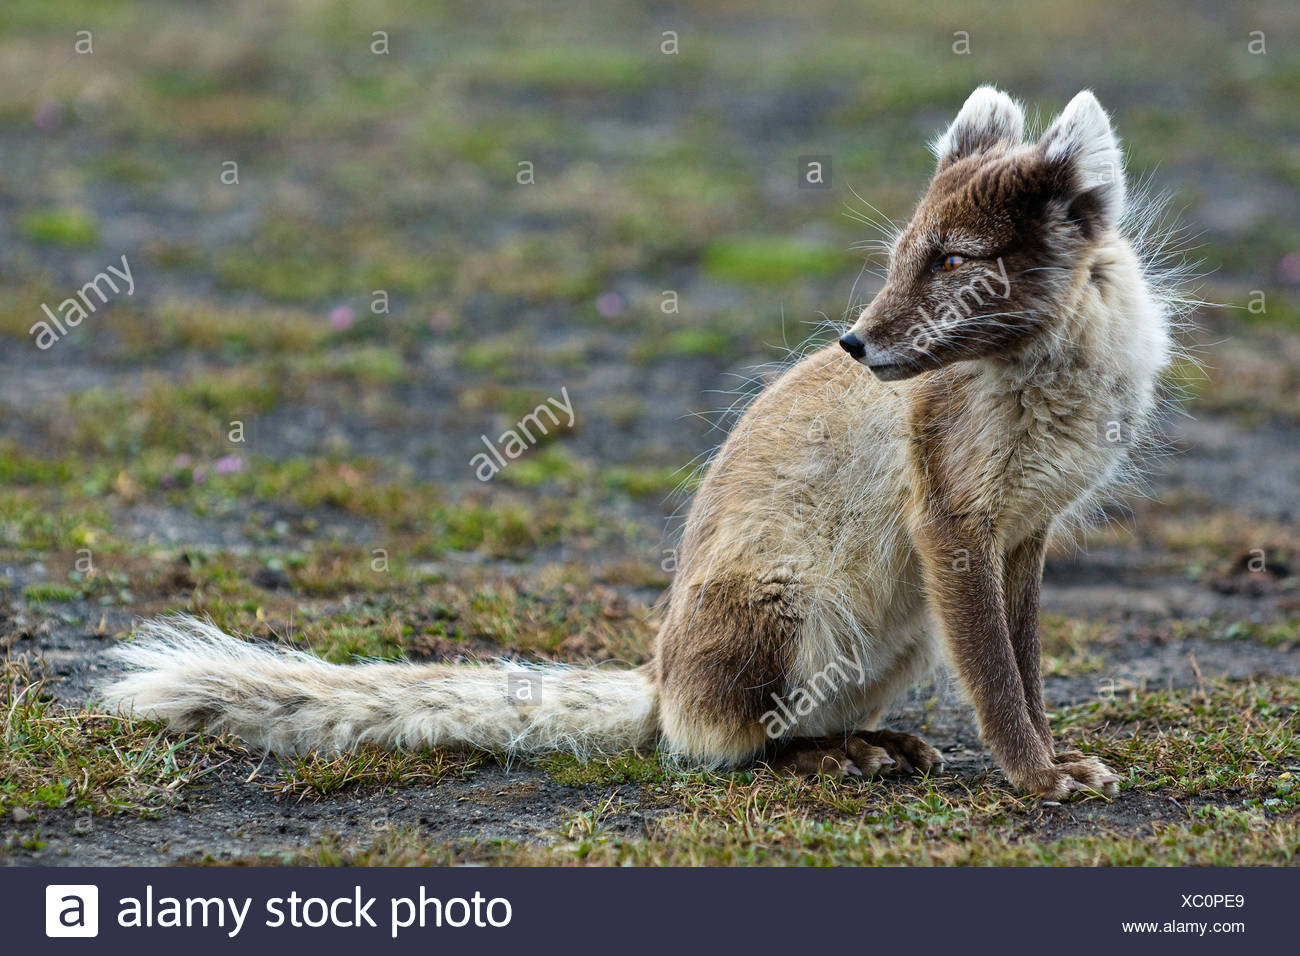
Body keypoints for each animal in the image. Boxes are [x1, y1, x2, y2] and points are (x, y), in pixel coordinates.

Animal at [105, 87, 1180, 800]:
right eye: (900, 256)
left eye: (953, 260)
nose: (856, 343)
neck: (1056, 376)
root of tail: (658, 680)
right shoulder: (953, 522)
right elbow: (997, 679)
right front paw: (1038, 777)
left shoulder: (1022, 538)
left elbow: (1026, 667)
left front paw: (1051, 755)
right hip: (788, 611)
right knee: (716, 745)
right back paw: (830, 755)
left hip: (905, 633)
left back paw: (876, 741)